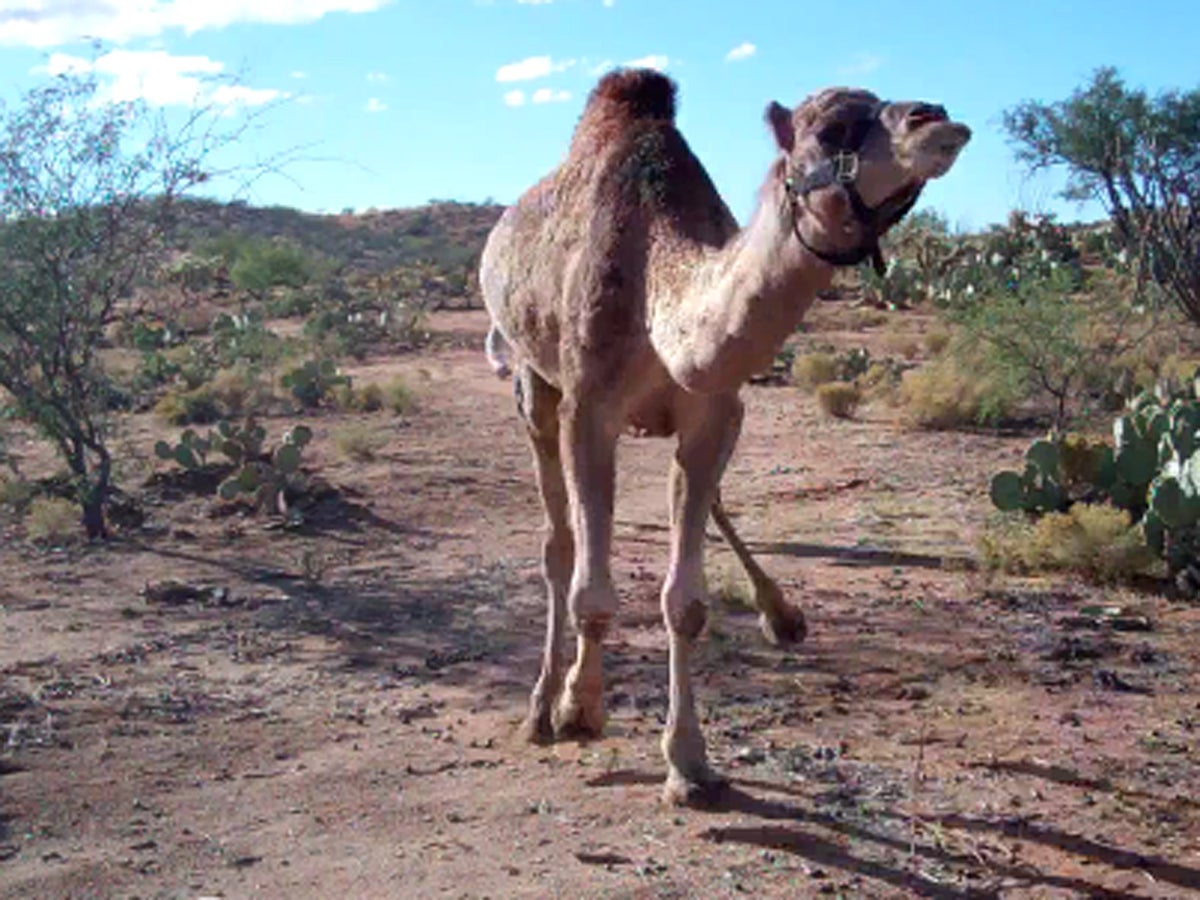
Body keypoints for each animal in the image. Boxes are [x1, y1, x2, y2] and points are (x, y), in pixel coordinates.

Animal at [479, 69, 970, 806]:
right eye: (831, 128)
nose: (934, 117)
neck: (659, 291)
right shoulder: (587, 409)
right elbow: (590, 590)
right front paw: (578, 709)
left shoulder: (716, 414)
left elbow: (686, 603)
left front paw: (690, 764)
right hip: (533, 381)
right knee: (557, 545)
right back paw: (539, 709)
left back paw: (779, 610)